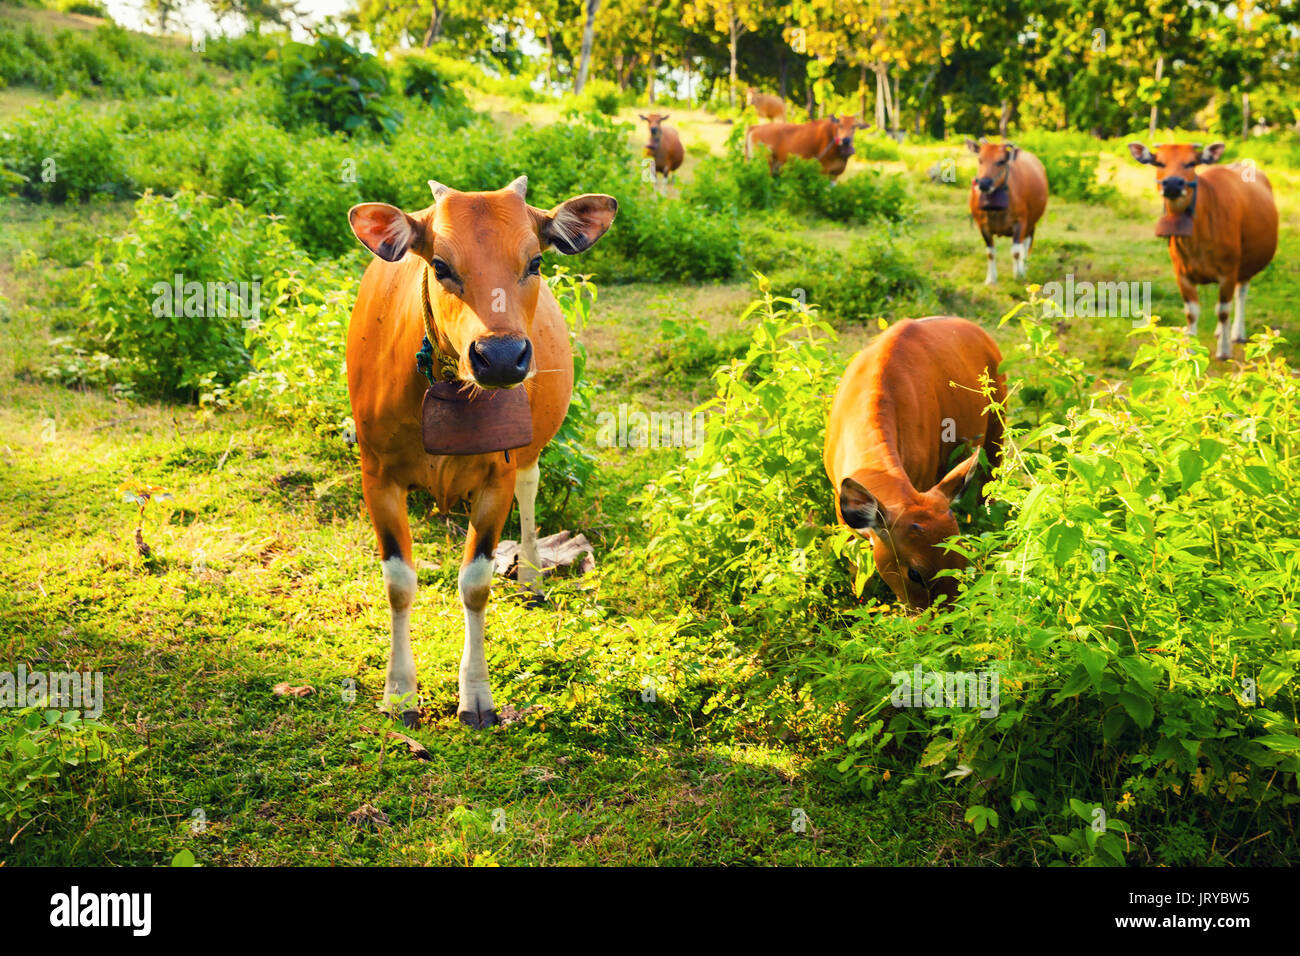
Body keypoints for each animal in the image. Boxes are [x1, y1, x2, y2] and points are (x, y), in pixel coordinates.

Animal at [346, 176, 617, 729]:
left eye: (534, 261)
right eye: (440, 265)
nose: (501, 357)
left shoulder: (498, 475)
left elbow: (475, 582)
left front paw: (475, 695)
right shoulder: (376, 473)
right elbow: (399, 582)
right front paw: (399, 693)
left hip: (529, 449)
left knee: (532, 489)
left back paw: (532, 577)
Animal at [966, 137, 1049, 285]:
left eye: (1001, 161)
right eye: (980, 159)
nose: (984, 183)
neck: (996, 208)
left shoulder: (1020, 222)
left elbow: (1016, 251)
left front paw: (1018, 275)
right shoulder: (982, 226)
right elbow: (990, 252)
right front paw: (990, 279)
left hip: (1031, 223)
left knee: (1025, 246)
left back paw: (1023, 268)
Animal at [1127, 142, 1278, 360]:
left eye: (1191, 163)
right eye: (1159, 162)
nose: (1172, 184)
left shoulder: (1228, 271)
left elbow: (1223, 310)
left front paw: (1224, 350)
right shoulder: (1182, 274)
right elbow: (1192, 313)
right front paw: (1189, 349)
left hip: (1246, 265)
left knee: (1240, 294)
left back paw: (1236, 333)